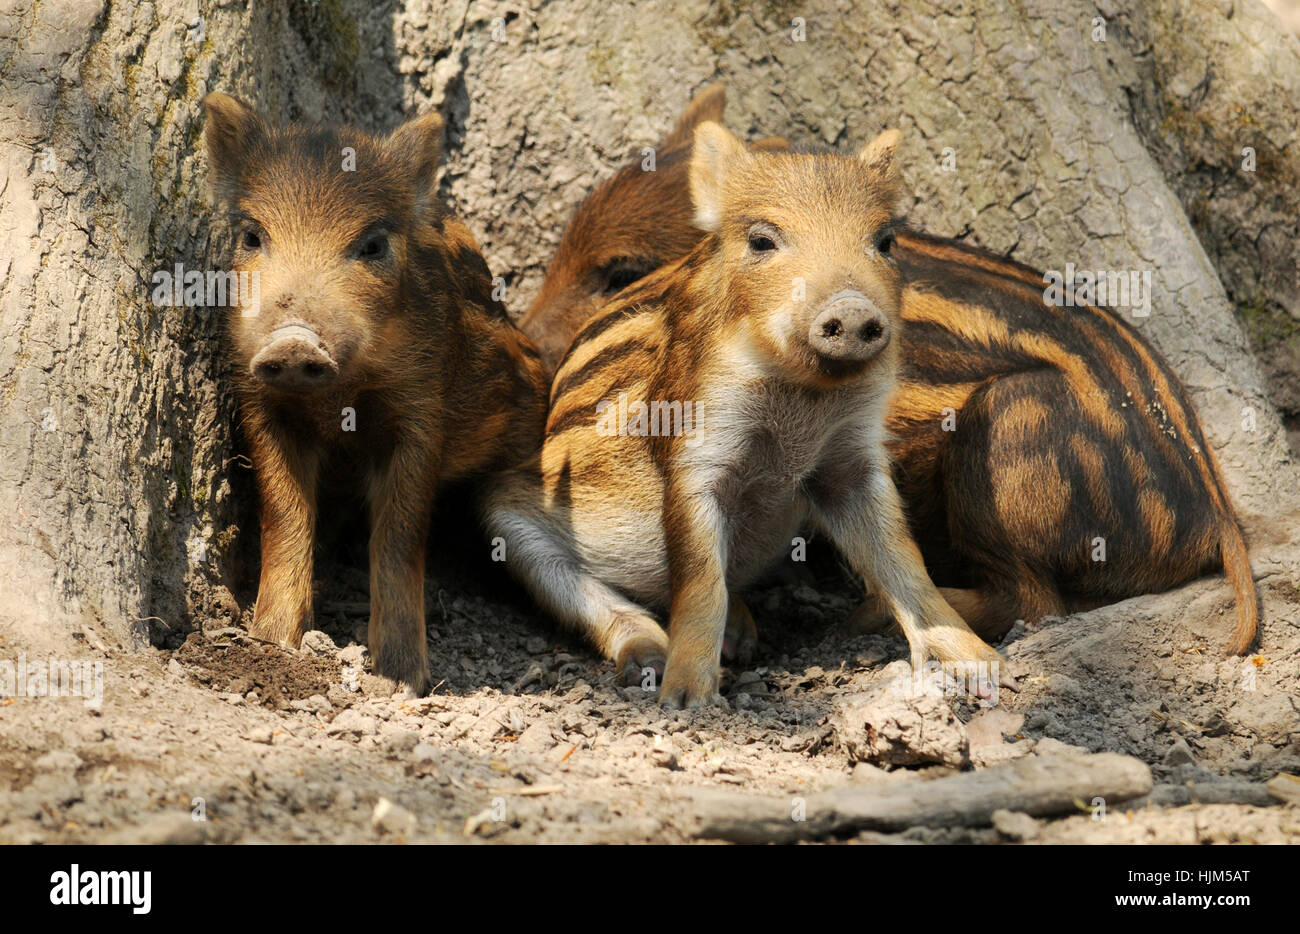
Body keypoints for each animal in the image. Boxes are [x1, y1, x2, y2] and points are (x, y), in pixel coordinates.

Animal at [203, 94, 548, 694]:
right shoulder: (261, 406)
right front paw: (272, 642)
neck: (336, 399)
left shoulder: (422, 409)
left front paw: (401, 679)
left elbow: (399, 533)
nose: (295, 341)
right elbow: (285, 514)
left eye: (371, 244)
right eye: (251, 236)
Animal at [487, 123, 1003, 708]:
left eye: (885, 242)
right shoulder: (696, 451)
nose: (852, 308)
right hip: (511, 522)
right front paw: (686, 701)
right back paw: (653, 659)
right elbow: (700, 579)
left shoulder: (851, 462)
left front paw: (990, 666)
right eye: (762, 240)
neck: (802, 399)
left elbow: (903, 561)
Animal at [519, 86, 1259, 658]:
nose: (526, 349)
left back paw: (862, 617)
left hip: (1008, 427)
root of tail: (1213, 515)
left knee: (1035, 601)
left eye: (620, 273)